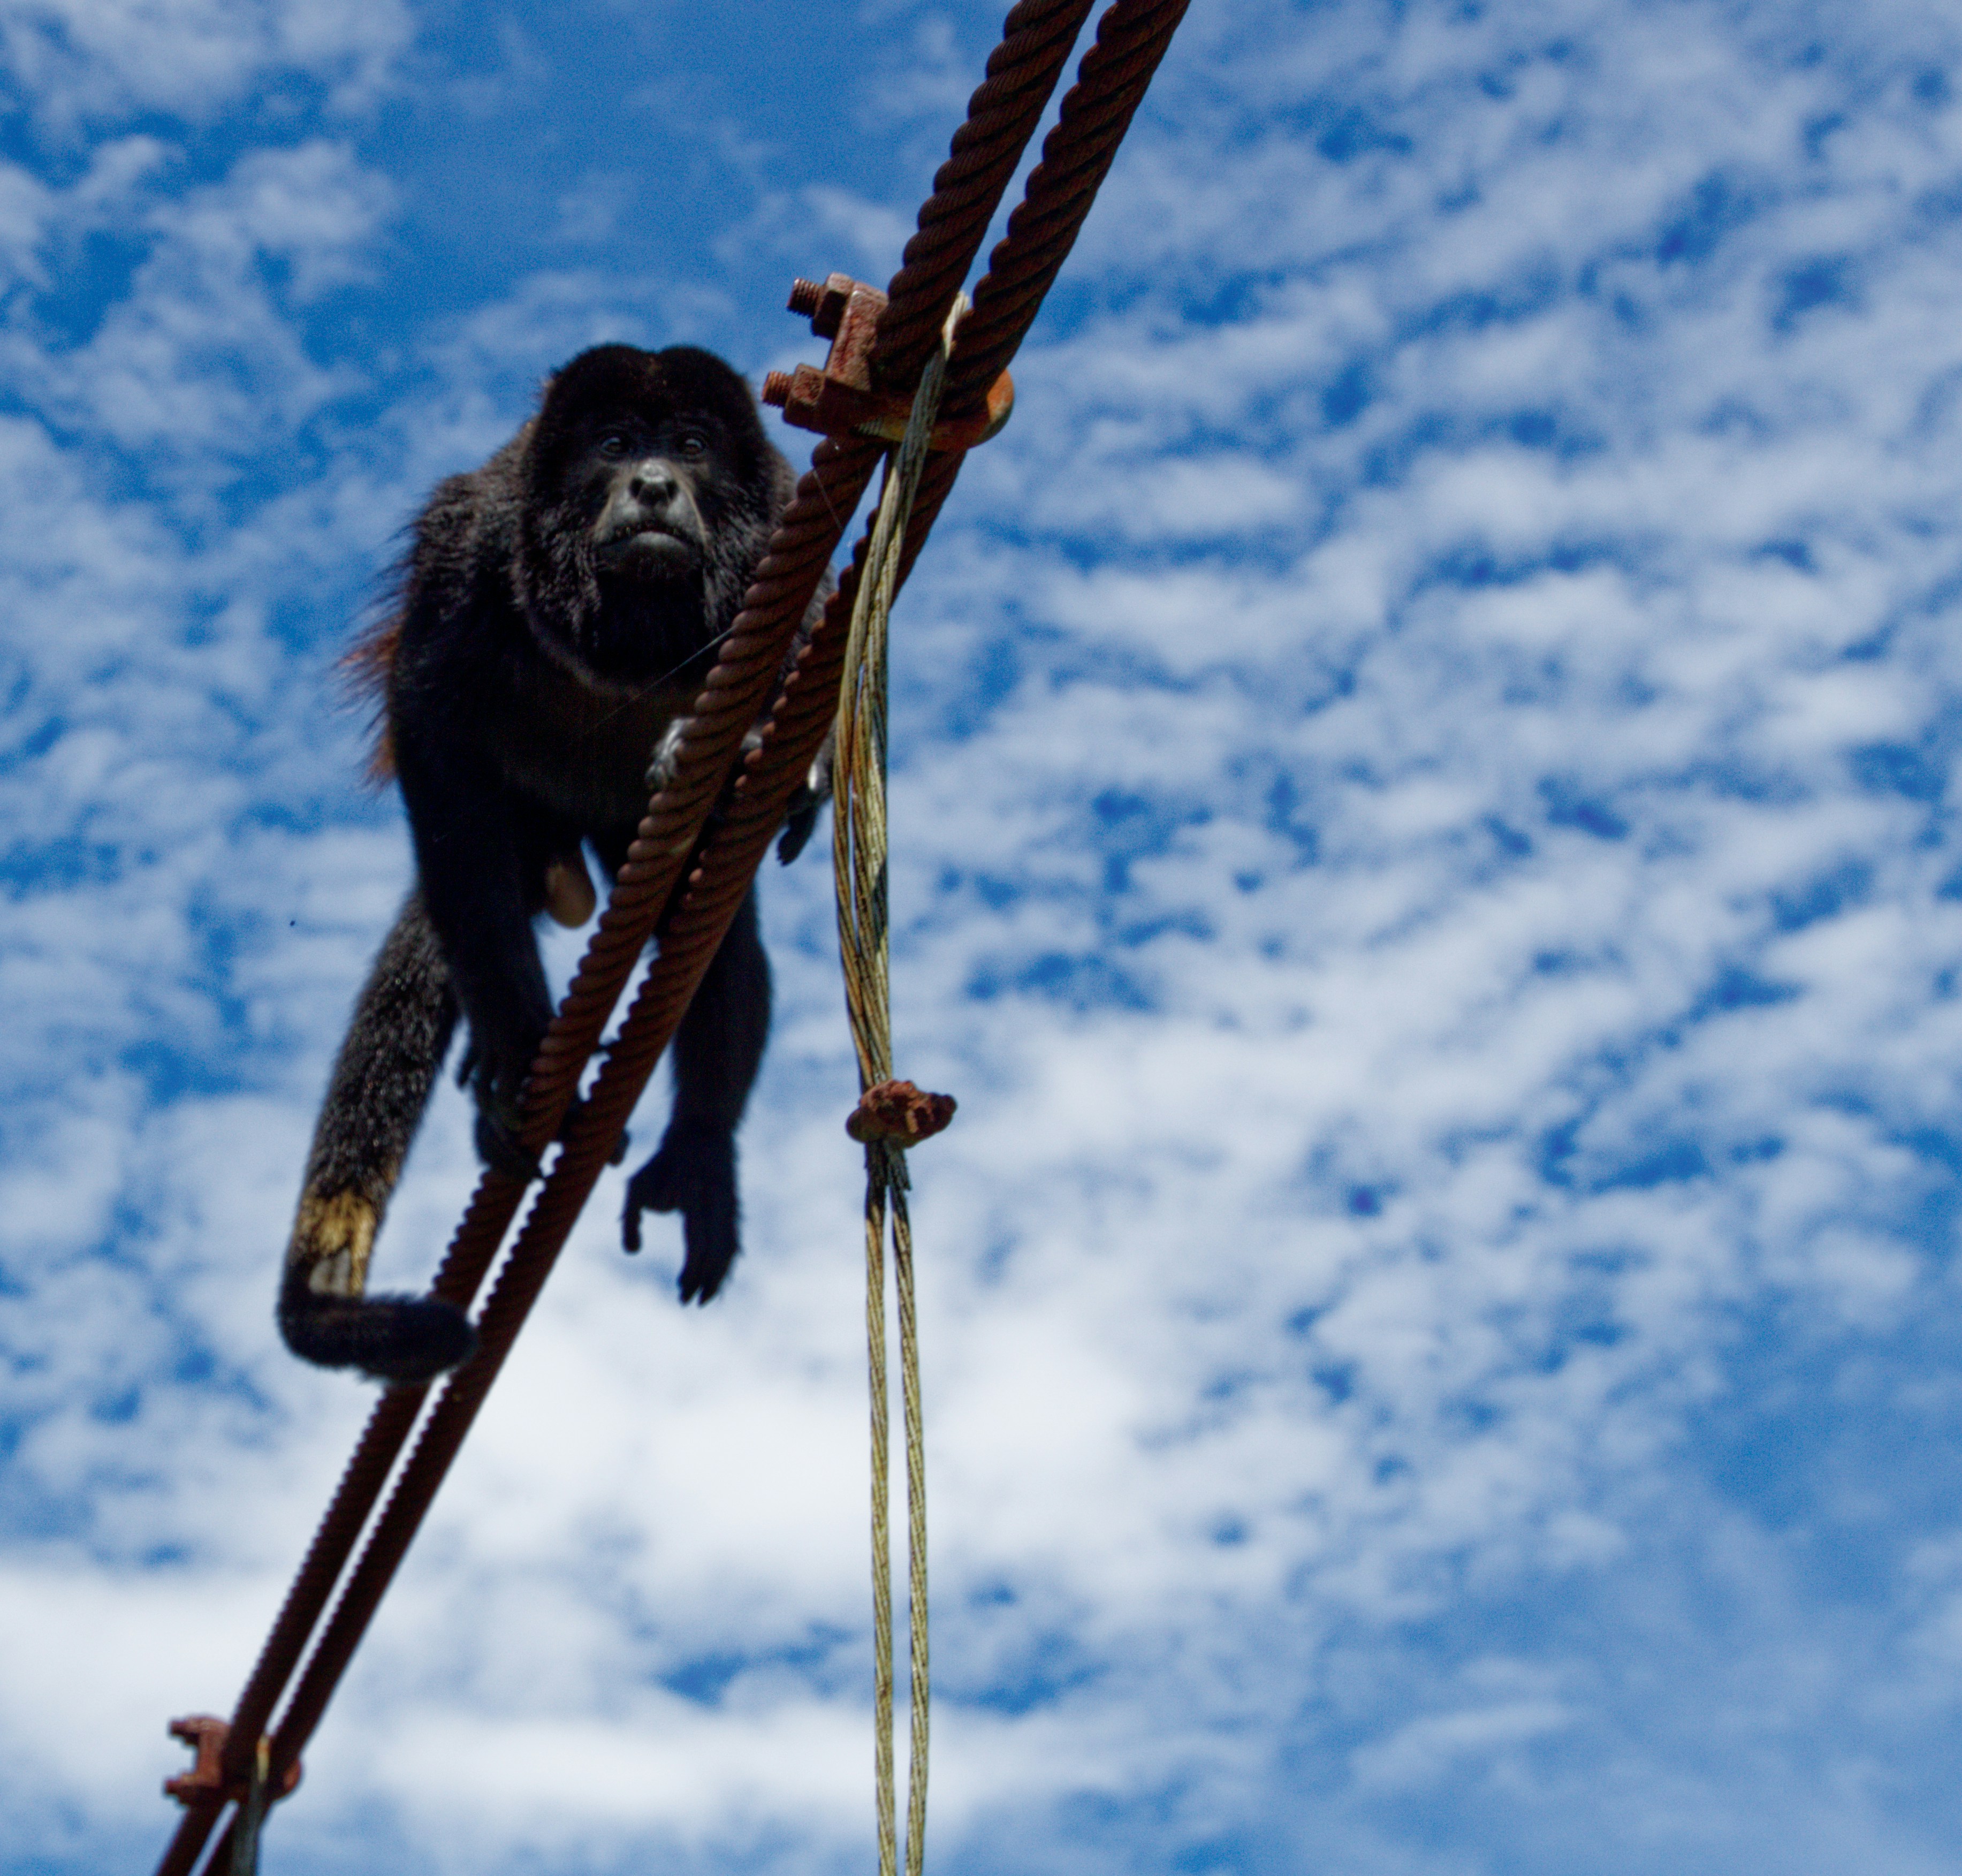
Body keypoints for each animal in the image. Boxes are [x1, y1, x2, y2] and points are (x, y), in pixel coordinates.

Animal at [278, 344, 830, 1386]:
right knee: (435, 939)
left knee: (711, 929)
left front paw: (783, 766)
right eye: (613, 445)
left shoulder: (782, 523)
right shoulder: (467, 545)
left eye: (689, 446)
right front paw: (517, 1046)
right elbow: (433, 747)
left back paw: (698, 1153)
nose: (651, 485)